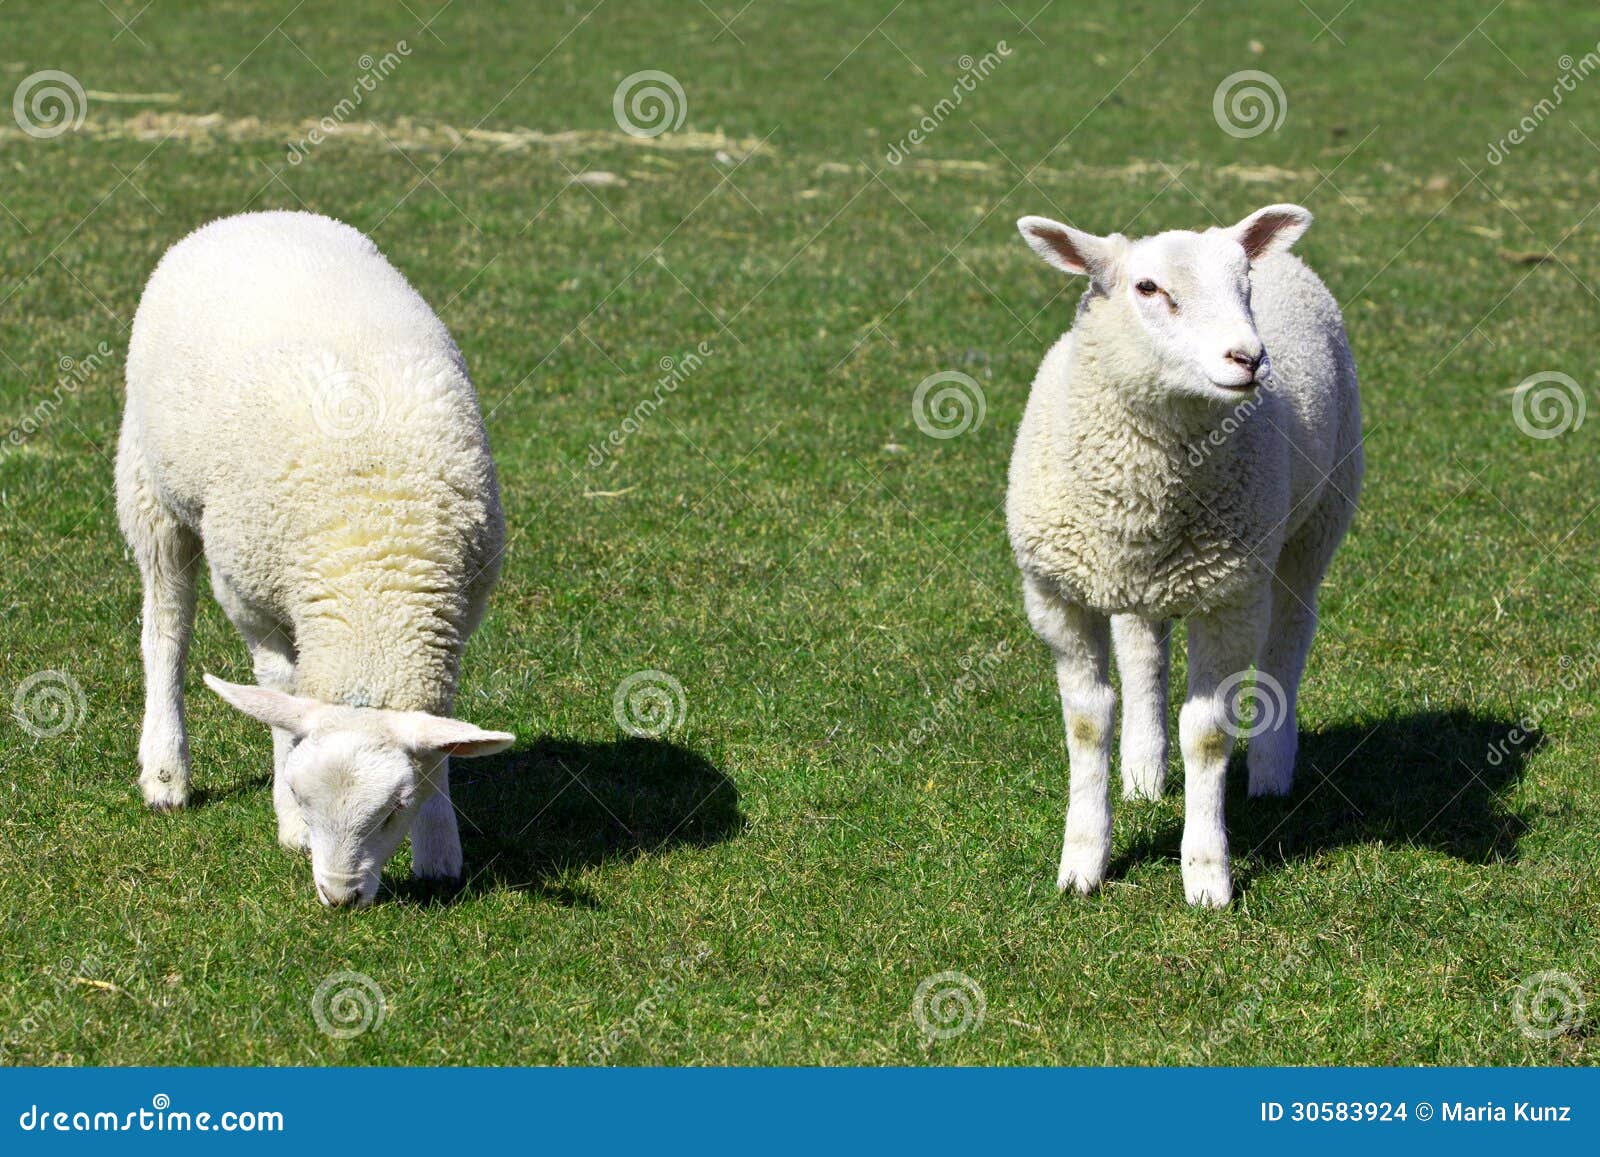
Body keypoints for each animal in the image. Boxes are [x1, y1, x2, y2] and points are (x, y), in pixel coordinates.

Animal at [116, 210, 515, 908]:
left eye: (393, 812)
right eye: (305, 797)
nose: (339, 896)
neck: (372, 577)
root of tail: (255, 216)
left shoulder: (459, 611)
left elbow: (440, 729)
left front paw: (440, 847)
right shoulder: (249, 595)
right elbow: (279, 688)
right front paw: (289, 824)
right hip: (149, 485)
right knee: (165, 629)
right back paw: (165, 773)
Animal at [1007, 204, 1362, 907]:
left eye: (1244, 286)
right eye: (1147, 289)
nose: (1249, 358)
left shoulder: (1228, 597)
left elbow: (1207, 733)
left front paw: (1205, 873)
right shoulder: (1059, 597)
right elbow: (1087, 725)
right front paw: (1082, 863)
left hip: (1317, 519)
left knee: (1290, 636)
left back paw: (1271, 771)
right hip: (1139, 579)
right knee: (1143, 651)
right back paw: (1144, 772)